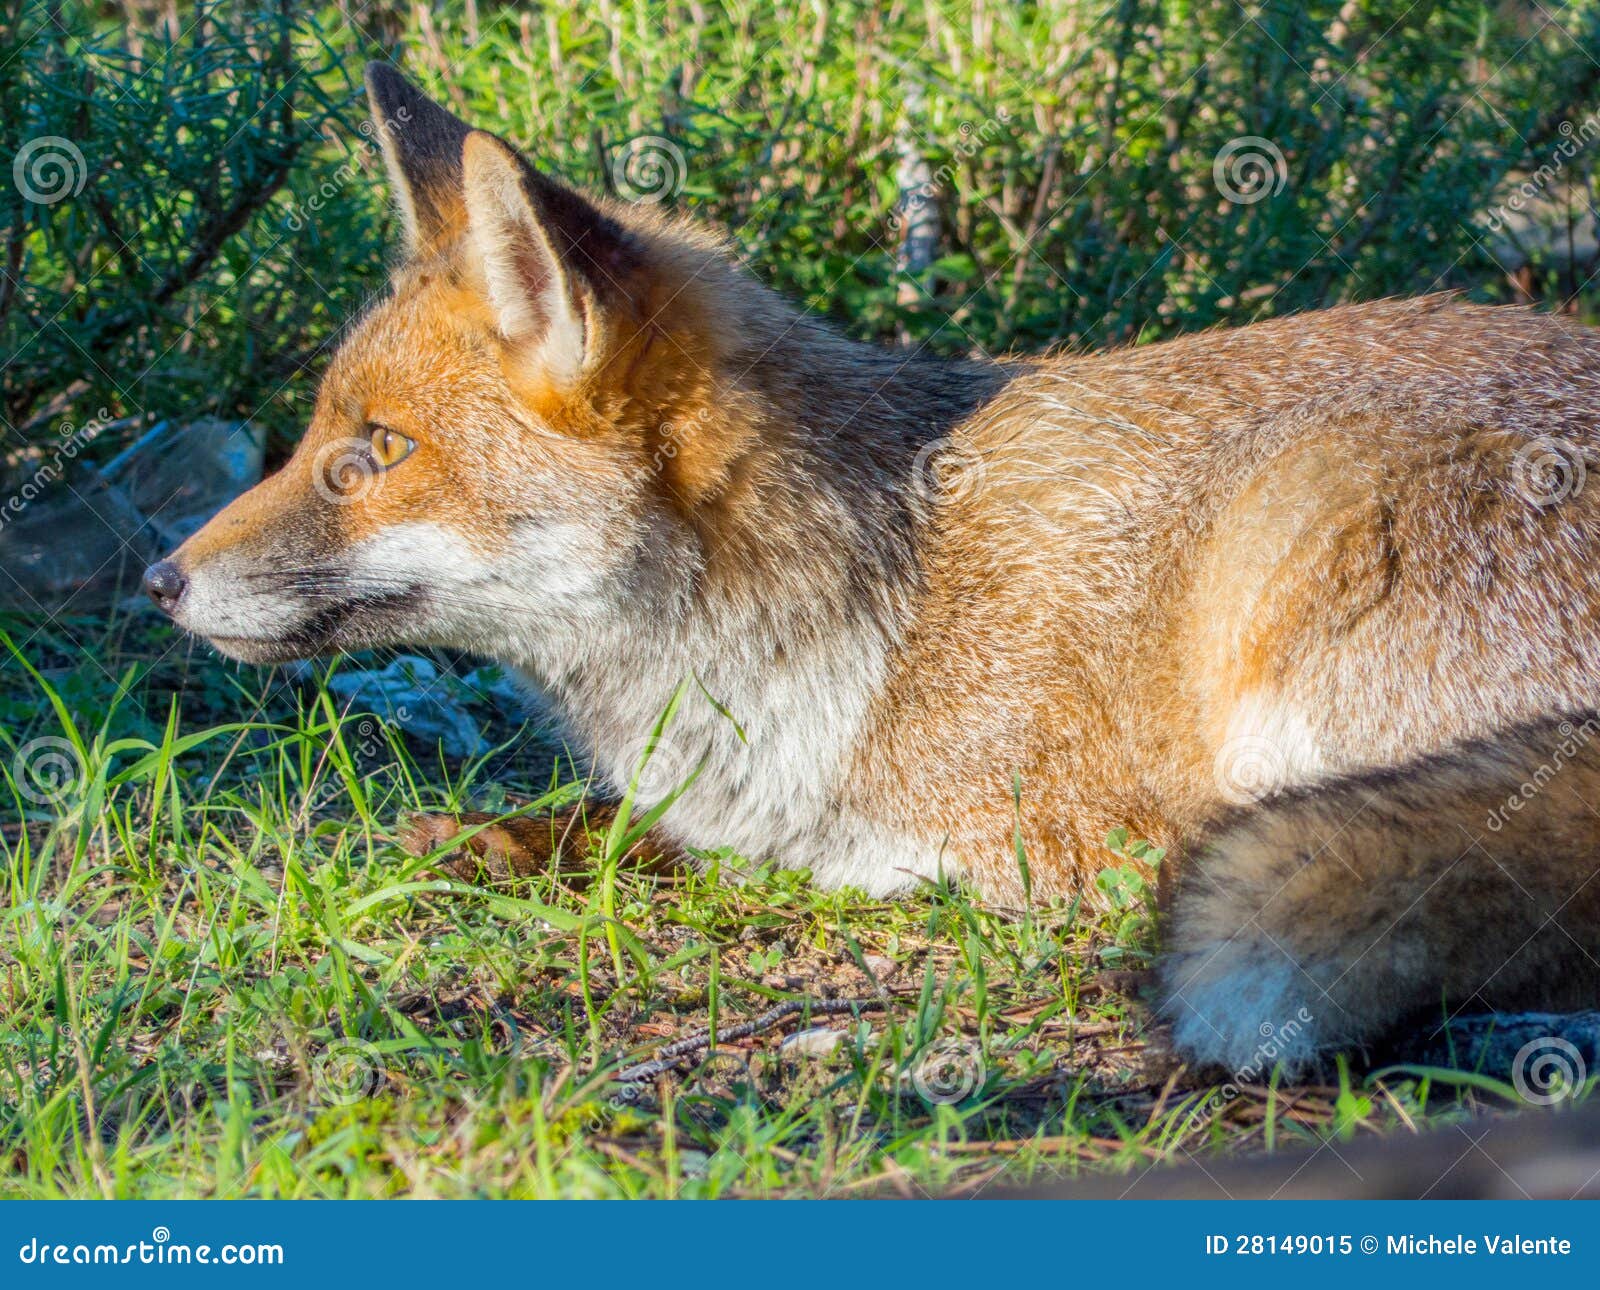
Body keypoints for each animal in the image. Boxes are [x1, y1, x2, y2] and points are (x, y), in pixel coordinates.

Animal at [143, 63, 1600, 1077]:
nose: (160, 579)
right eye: (322, 435)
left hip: (1295, 528)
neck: (856, 600)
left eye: (379, 451)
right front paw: (497, 838)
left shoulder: (1056, 832)